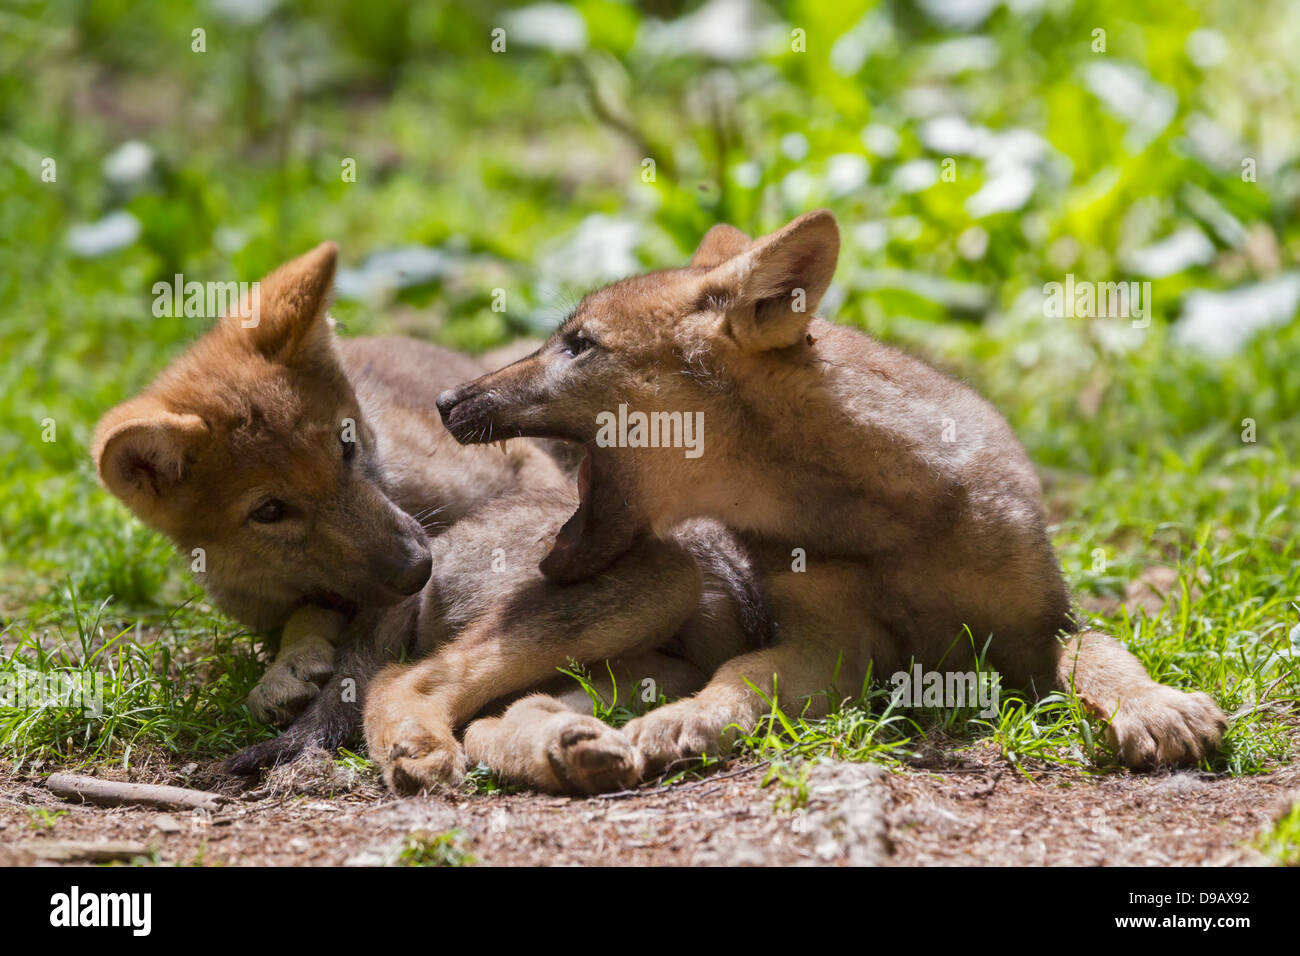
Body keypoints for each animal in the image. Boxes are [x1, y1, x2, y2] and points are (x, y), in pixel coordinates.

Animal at [418, 209, 1227, 777]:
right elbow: (739, 681)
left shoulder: (1044, 627)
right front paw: (684, 725)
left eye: (578, 344)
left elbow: (1106, 655)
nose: (447, 401)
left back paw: (569, 753)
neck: (880, 531)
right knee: (434, 686)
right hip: (659, 585)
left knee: (497, 710)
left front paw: (1160, 709)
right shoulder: (829, 654)